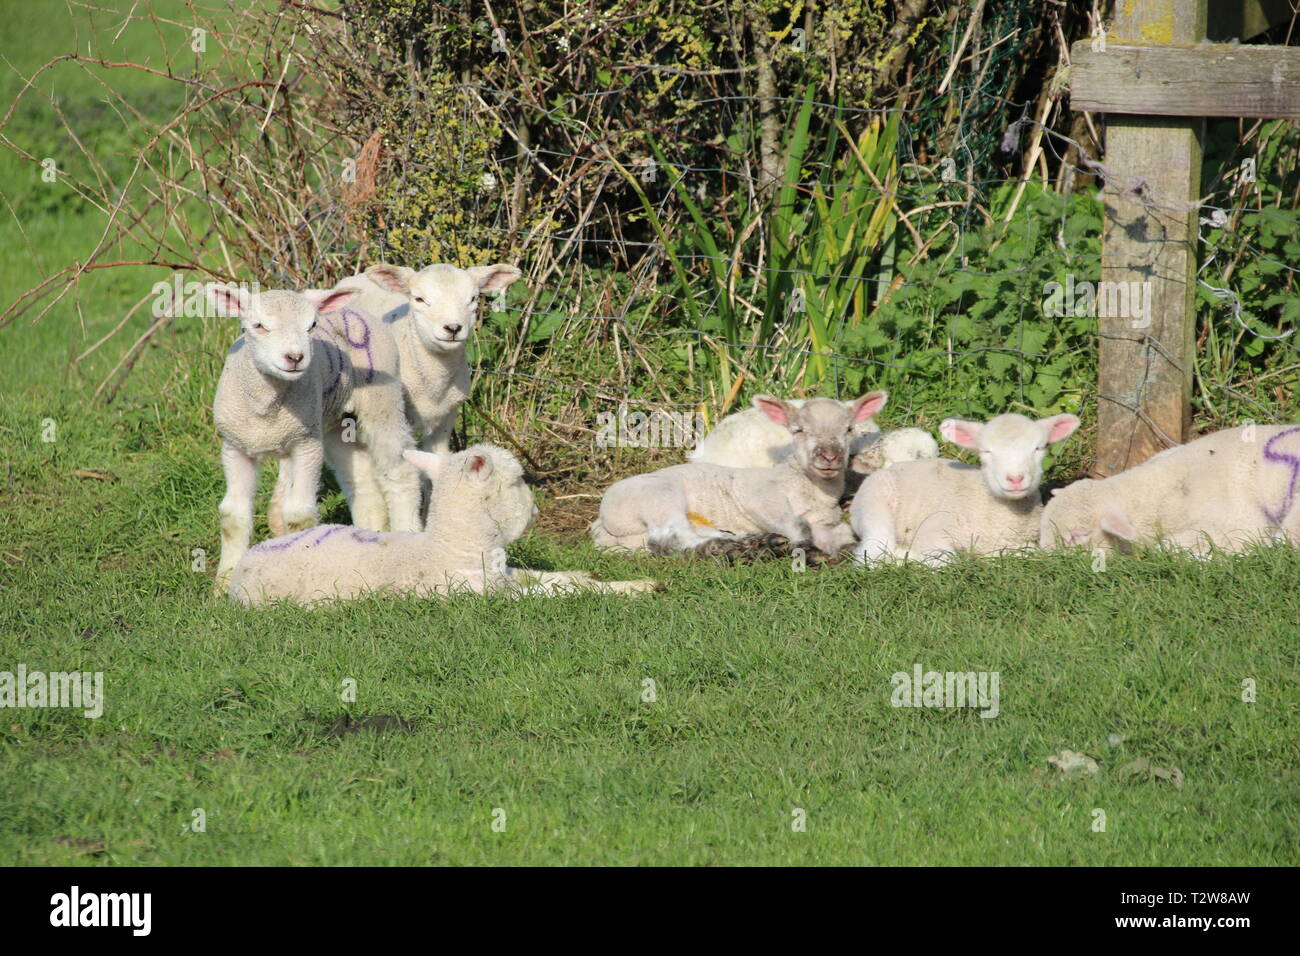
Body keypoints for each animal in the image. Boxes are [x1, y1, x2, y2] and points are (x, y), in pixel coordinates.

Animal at [209, 284, 420, 593]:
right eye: (258, 326)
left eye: (311, 326)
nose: (295, 357)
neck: (267, 411)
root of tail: (354, 310)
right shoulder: (236, 448)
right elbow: (232, 516)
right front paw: (224, 583)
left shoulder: (306, 444)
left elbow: (299, 516)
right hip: (336, 424)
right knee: (363, 482)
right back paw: (369, 535)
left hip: (383, 398)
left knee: (399, 470)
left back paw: (408, 532)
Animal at [228, 445, 658, 606]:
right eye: (518, 481)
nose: (537, 512)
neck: (448, 549)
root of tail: (242, 567)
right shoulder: (481, 595)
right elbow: (556, 593)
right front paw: (629, 589)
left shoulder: (505, 576)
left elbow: (554, 578)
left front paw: (612, 580)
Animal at [591, 391, 889, 554]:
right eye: (798, 430)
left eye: (848, 430)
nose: (829, 457)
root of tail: (606, 520)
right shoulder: (759, 496)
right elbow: (799, 525)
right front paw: (804, 546)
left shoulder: (826, 520)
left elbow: (839, 533)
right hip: (659, 497)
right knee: (670, 536)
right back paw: (728, 548)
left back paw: (748, 541)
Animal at [851, 411, 1081, 566]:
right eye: (986, 451)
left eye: (1038, 448)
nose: (1015, 479)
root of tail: (897, 463)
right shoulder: (932, 529)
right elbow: (947, 561)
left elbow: (1031, 551)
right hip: (873, 505)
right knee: (873, 552)